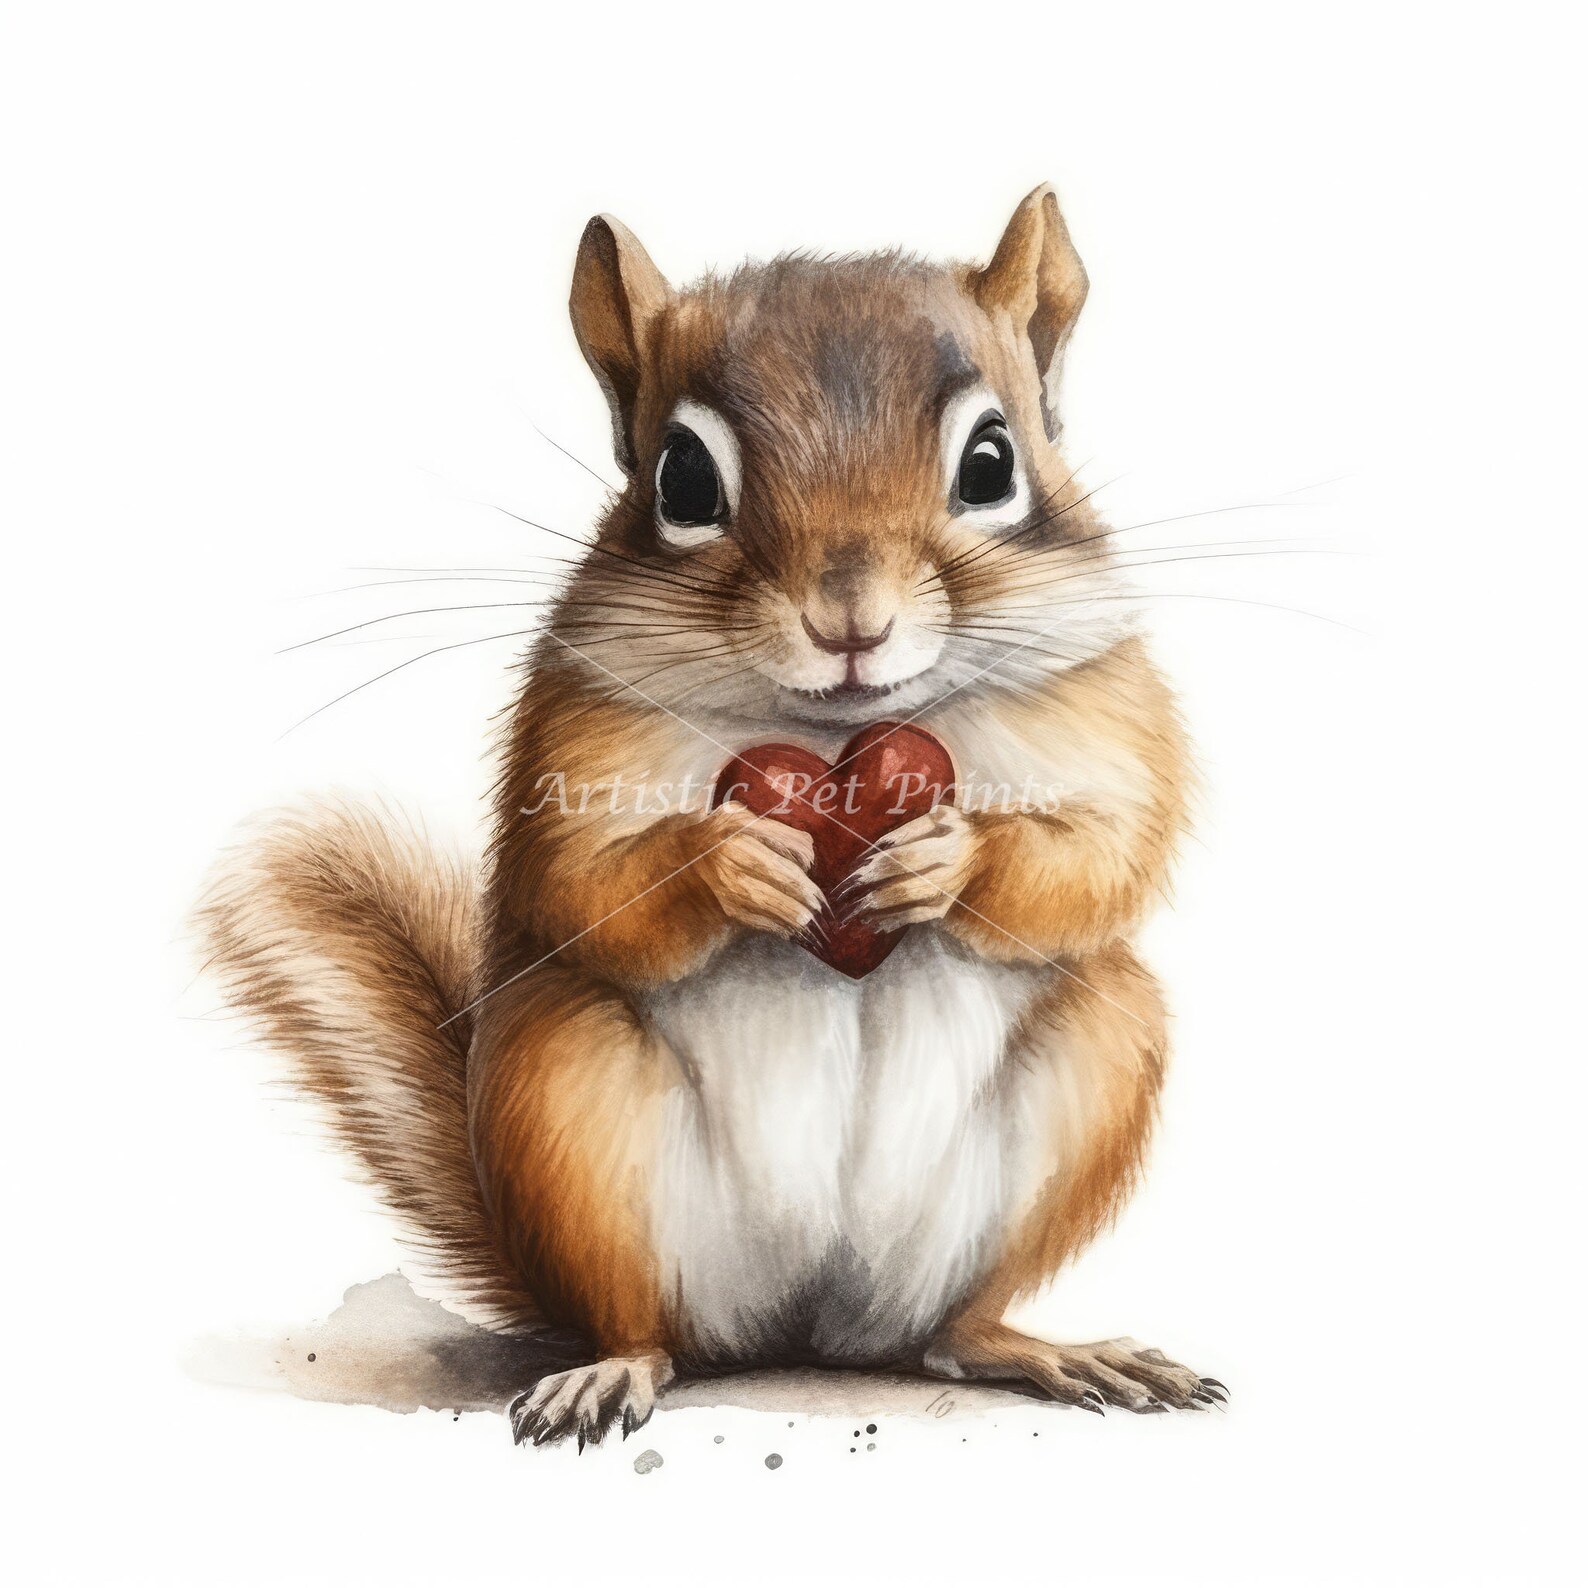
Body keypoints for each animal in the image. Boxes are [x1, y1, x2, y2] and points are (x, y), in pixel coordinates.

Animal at [198, 184, 1224, 1446]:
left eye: (992, 462)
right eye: (682, 479)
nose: (849, 618)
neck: (834, 732)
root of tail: (804, 1325)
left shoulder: (1111, 715)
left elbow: (1111, 848)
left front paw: (944, 858)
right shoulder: (567, 736)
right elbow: (578, 874)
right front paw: (731, 861)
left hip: (1097, 1058)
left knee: (951, 1331)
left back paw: (1044, 1349)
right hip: (567, 1099)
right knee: (646, 1321)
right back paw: (610, 1369)